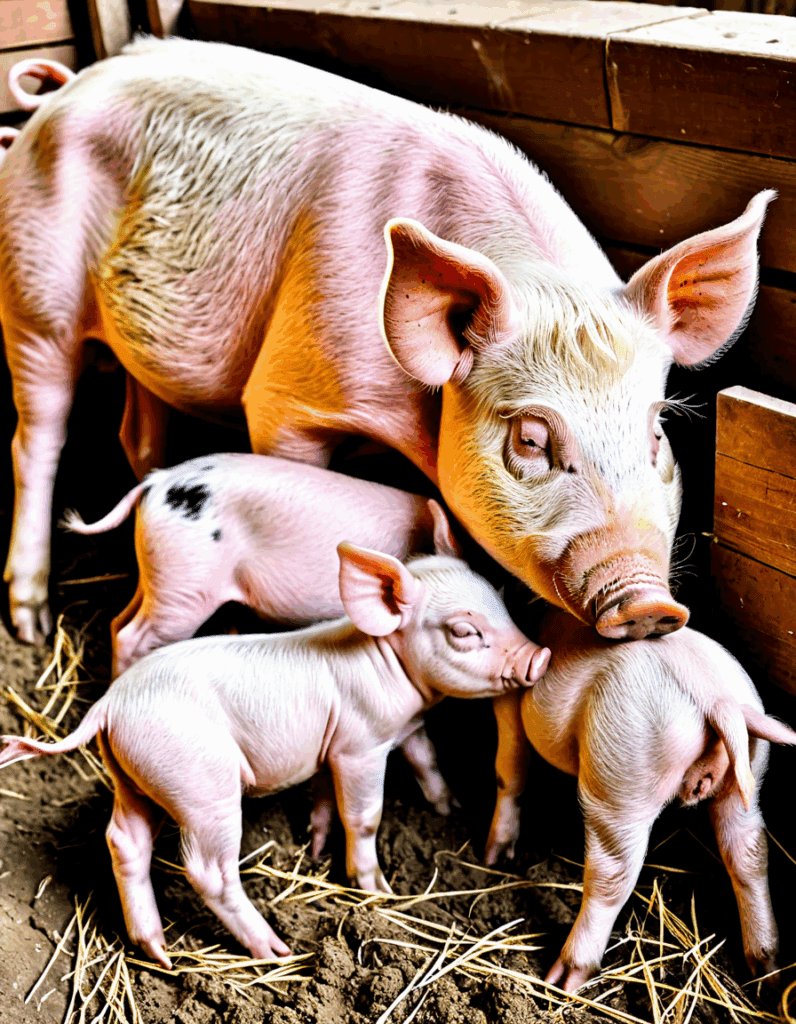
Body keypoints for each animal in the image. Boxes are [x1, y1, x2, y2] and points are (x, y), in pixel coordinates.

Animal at [0, 36, 774, 645]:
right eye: (529, 438)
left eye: (656, 434)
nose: (648, 602)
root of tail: (65, 90)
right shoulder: (285, 393)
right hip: (34, 297)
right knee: (36, 439)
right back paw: (30, 620)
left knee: (136, 428)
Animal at [0, 537, 551, 966]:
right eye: (464, 631)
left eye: (505, 606)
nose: (541, 655)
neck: (390, 665)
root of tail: (108, 707)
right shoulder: (360, 747)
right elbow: (365, 816)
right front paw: (379, 890)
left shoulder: (391, 732)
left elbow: (424, 761)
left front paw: (445, 809)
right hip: (201, 786)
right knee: (208, 870)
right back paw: (275, 950)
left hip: (135, 776)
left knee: (124, 841)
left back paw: (158, 951)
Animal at [485, 610, 796, 992]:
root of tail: (717, 700)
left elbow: (510, 762)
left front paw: (495, 858)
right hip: (748, 778)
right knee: (750, 855)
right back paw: (768, 972)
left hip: (623, 781)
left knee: (613, 878)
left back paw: (563, 980)